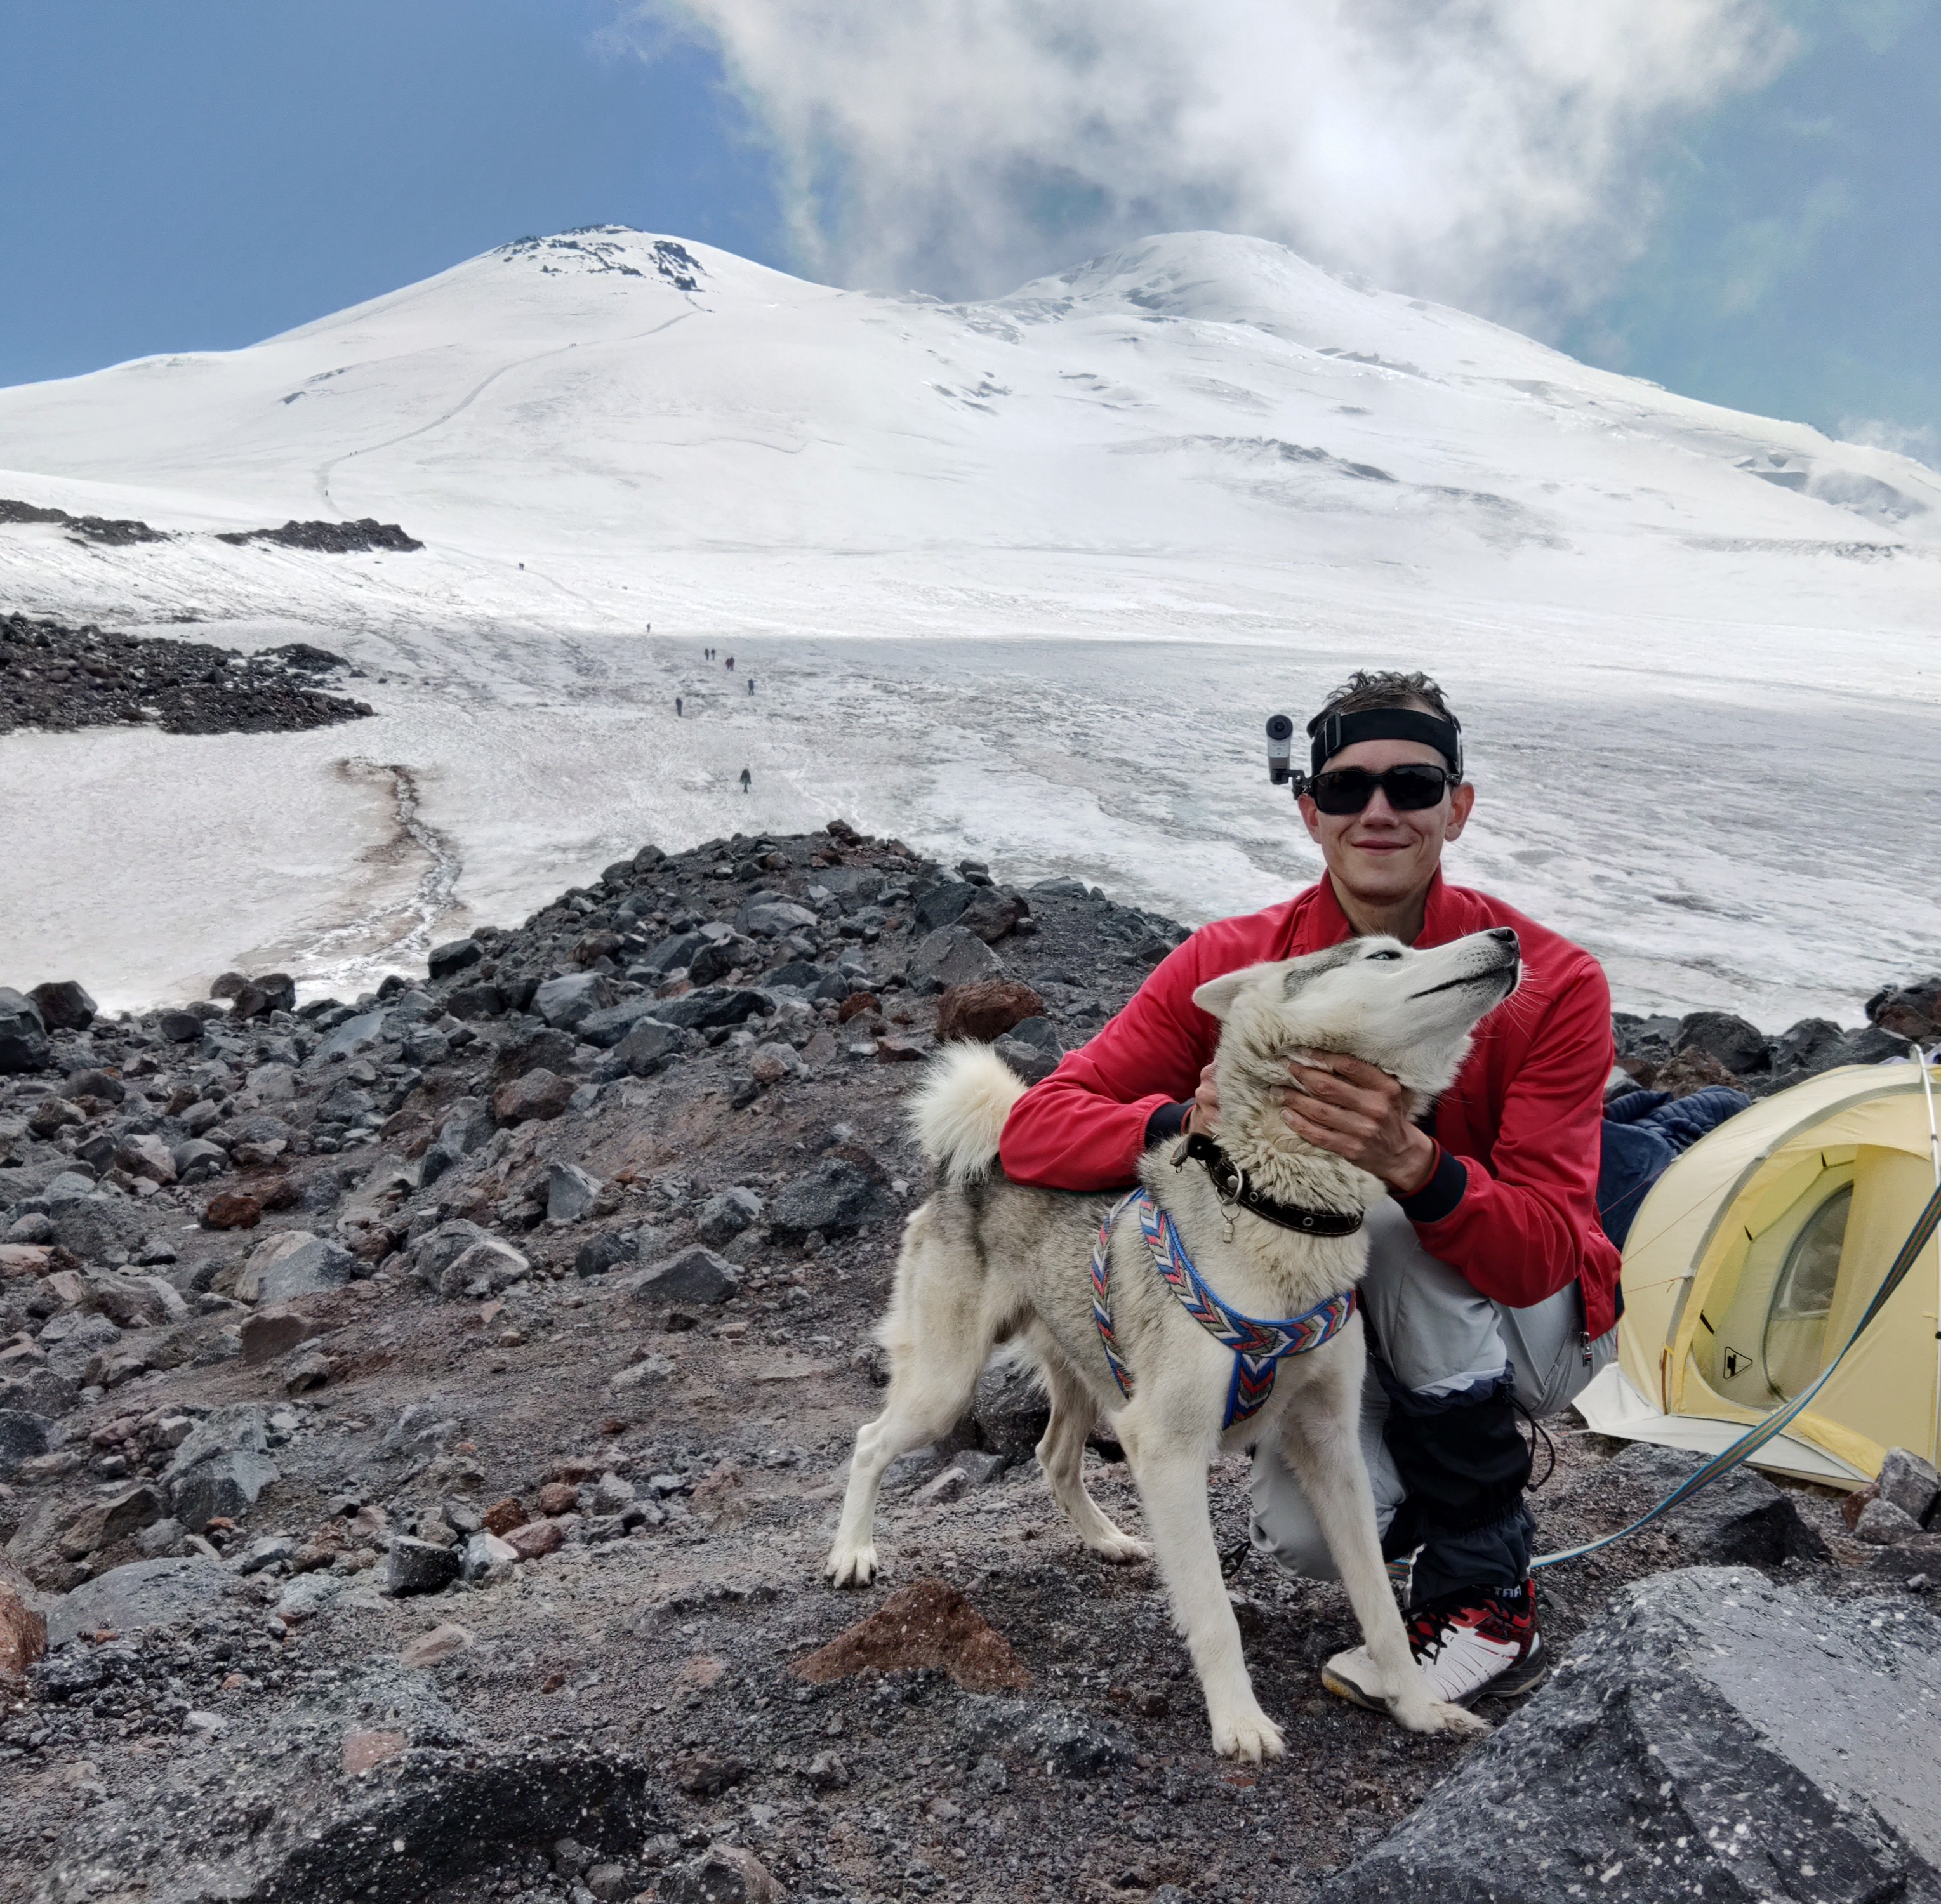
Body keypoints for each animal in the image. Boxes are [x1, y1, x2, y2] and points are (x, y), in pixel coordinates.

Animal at [819, 920, 1514, 1754]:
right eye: (1385, 955)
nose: (1507, 935)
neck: (1280, 1212)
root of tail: (970, 1169)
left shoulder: (1331, 1446)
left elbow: (1378, 1599)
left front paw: (1415, 1705)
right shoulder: (1169, 1448)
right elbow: (1213, 1611)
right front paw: (1239, 1722)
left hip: (1089, 1376)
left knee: (1053, 1457)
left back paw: (1106, 1539)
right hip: (947, 1385)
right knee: (869, 1441)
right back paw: (853, 1551)